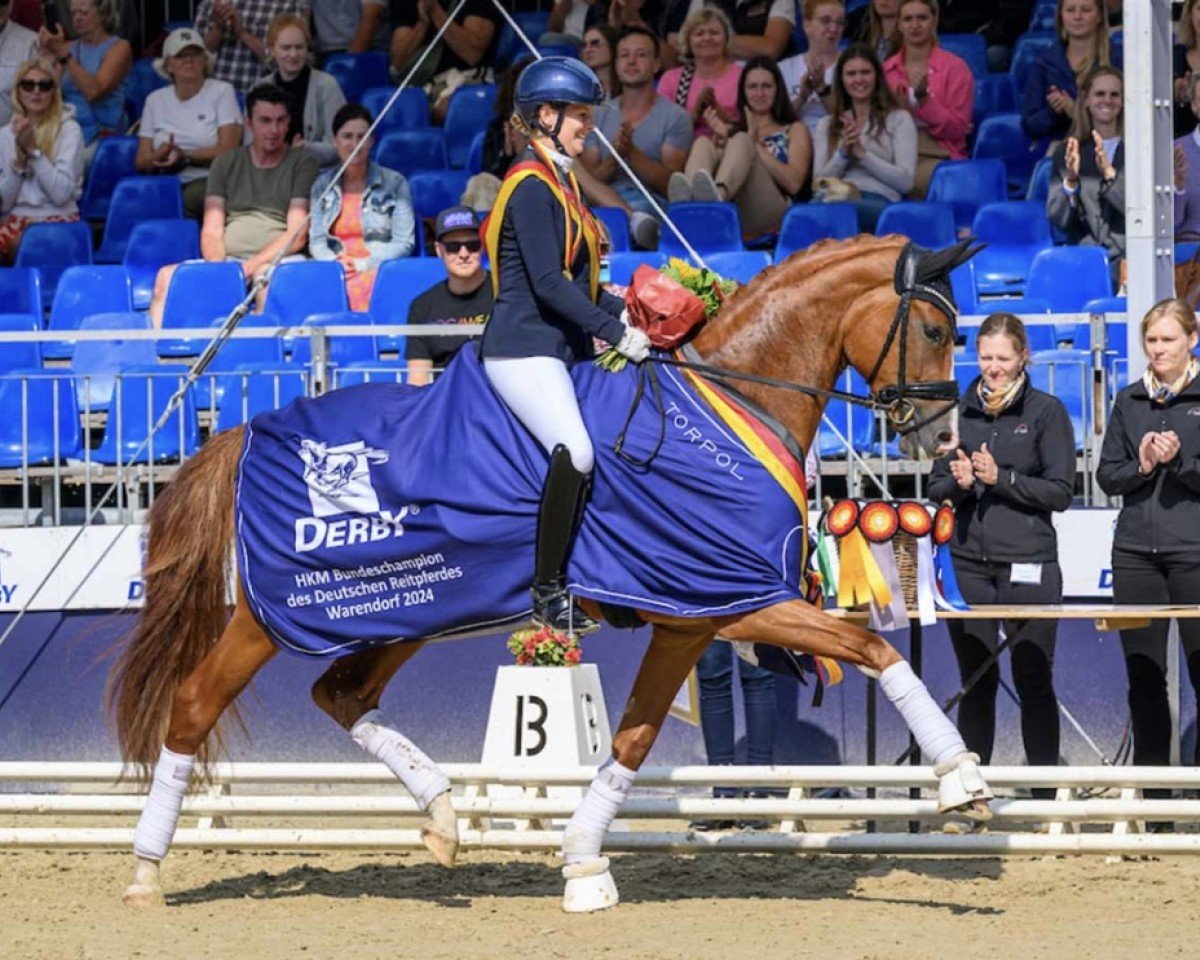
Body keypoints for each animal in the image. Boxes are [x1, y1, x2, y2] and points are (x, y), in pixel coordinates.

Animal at [108, 235, 989, 912]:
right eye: (935, 327)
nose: (944, 441)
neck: (733, 402)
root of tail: (247, 431)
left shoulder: (691, 618)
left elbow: (631, 741)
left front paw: (583, 863)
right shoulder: (736, 601)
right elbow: (877, 651)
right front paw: (961, 783)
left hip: (411, 611)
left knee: (341, 694)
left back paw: (442, 816)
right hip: (277, 617)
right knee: (195, 703)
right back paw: (147, 869)